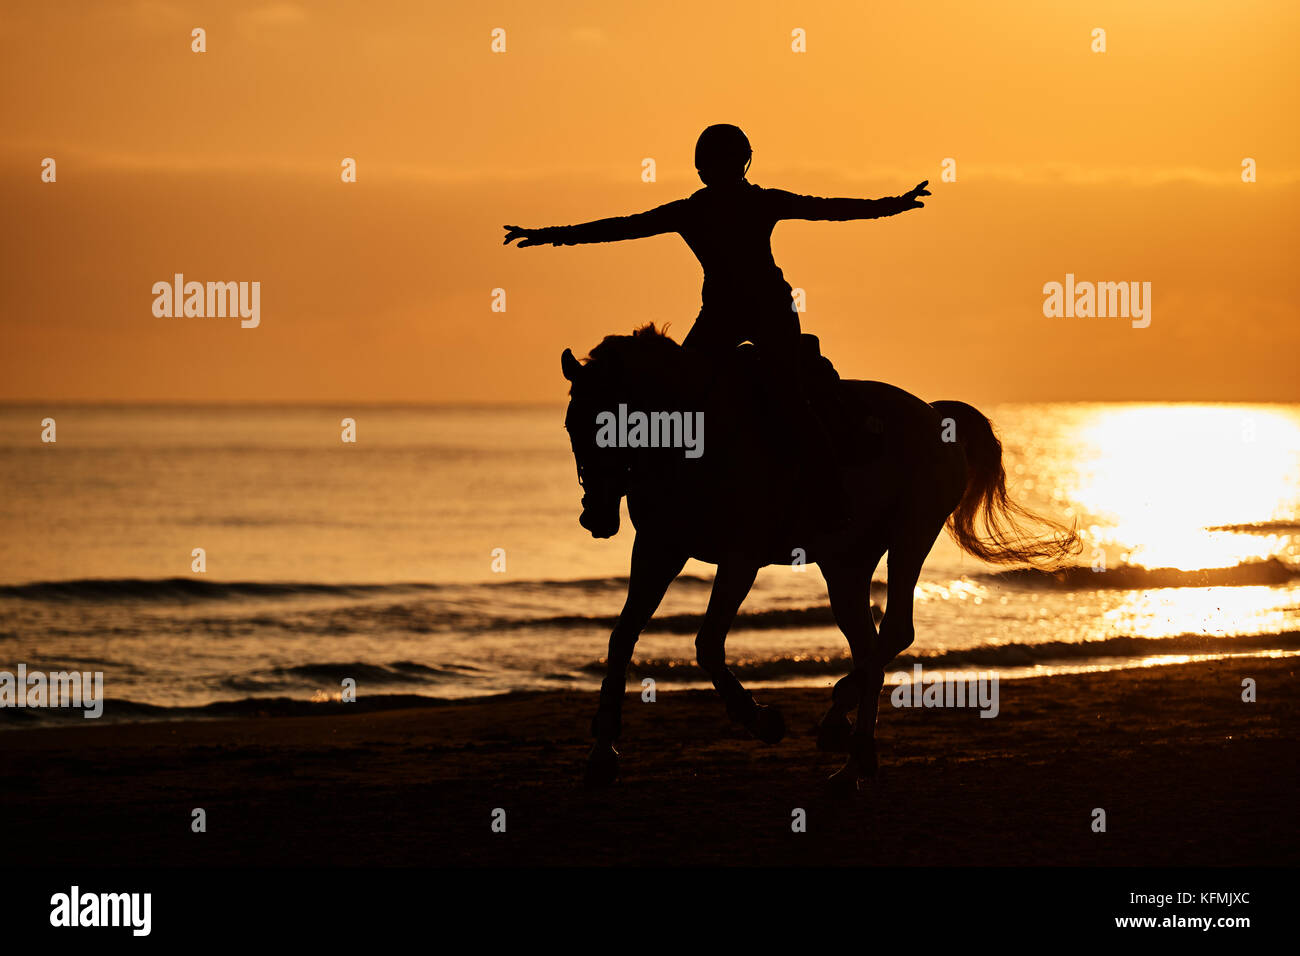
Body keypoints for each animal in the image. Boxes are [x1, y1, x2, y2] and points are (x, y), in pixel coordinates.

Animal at [560, 324, 1079, 791]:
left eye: (614, 423)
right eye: (572, 425)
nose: (595, 515)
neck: (694, 436)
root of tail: (935, 418)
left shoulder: (740, 557)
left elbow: (707, 643)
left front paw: (760, 719)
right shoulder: (658, 549)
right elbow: (621, 637)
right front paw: (602, 754)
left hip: (910, 536)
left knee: (895, 631)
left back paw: (839, 727)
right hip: (846, 563)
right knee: (868, 642)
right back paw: (854, 759)